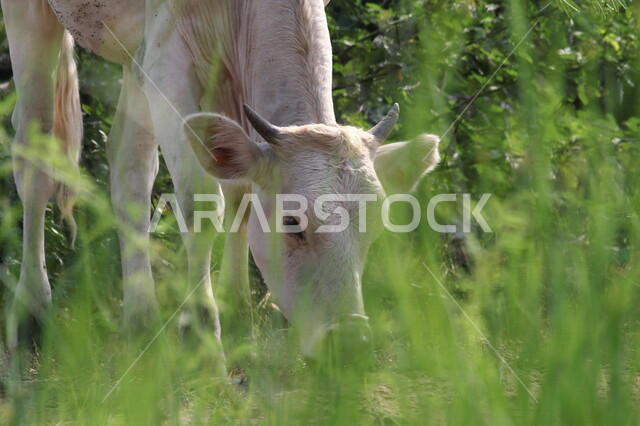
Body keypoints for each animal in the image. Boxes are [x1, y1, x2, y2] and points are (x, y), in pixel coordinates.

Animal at [2, 0, 440, 371]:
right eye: (293, 223)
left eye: (376, 228)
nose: (349, 343)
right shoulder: (168, 60)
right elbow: (200, 201)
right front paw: (202, 340)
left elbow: (240, 193)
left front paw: (235, 316)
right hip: (35, 18)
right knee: (34, 150)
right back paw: (30, 315)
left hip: (133, 55)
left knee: (130, 165)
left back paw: (141, 319)